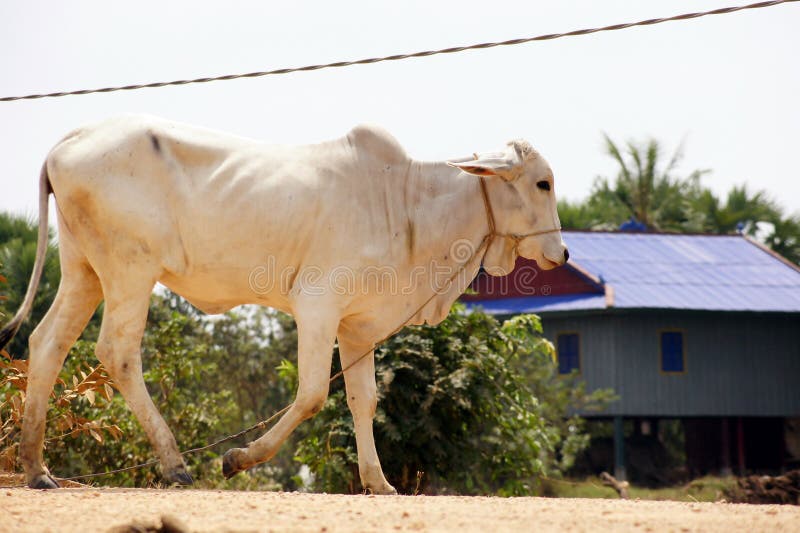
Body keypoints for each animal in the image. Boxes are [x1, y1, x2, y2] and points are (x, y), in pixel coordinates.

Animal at [0, 115, 567, 493]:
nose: (561, 254)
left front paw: (377, 481)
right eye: (543, 182)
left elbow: (364, 401)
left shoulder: (357, 327)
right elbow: (313, 394)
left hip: (84, 272)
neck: (408, 205)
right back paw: (175, 464)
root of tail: (69, 142)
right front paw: (238, 459)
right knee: (117, 354)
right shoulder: (318, 306)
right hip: (129, 272)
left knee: (47, 343)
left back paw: (37, 469)